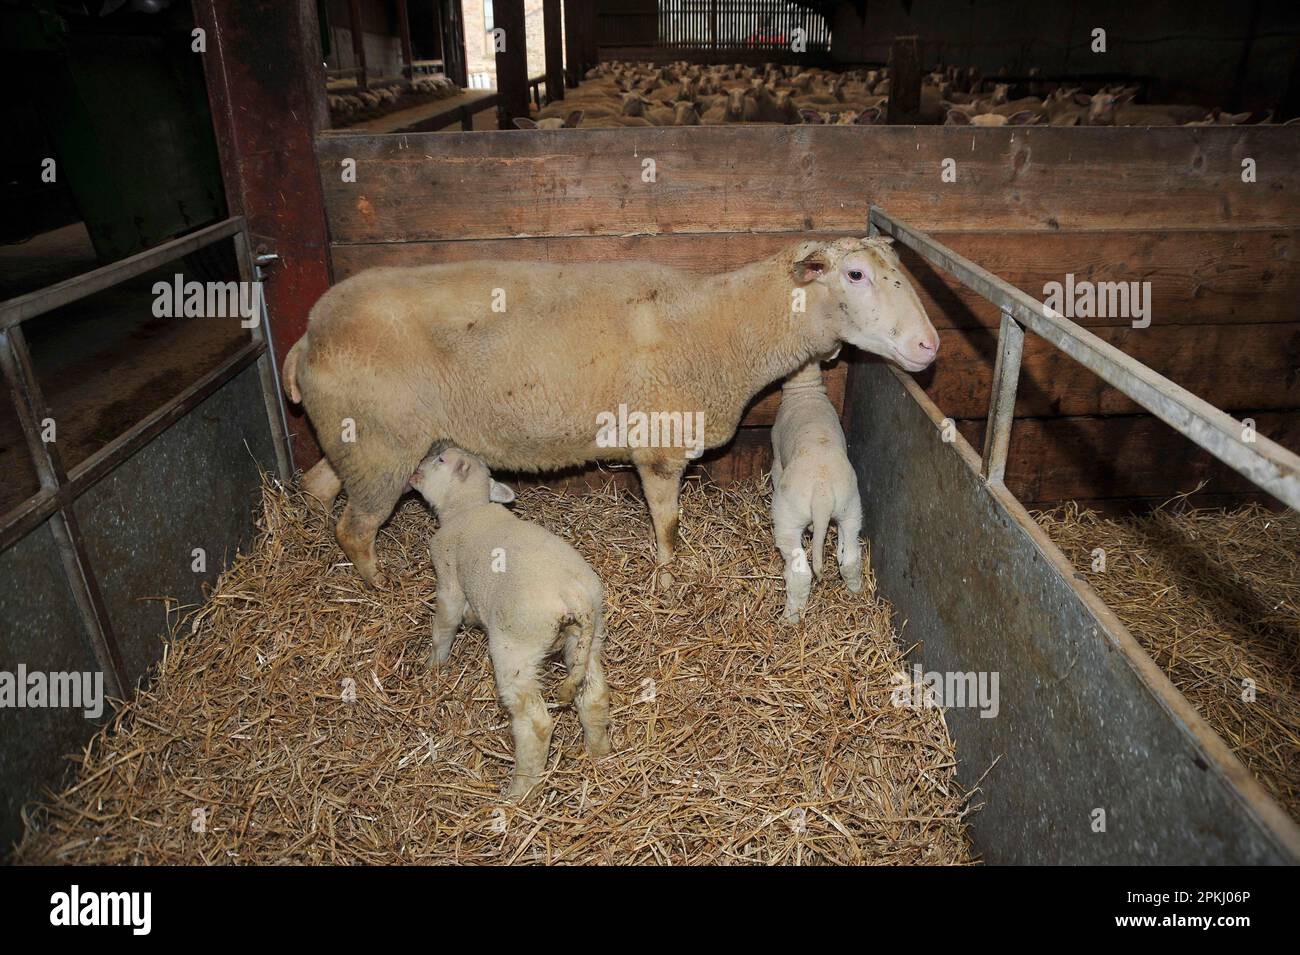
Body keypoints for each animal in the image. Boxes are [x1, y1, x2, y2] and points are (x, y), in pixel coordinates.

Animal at [283, 237, 939, 587]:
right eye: (855, 274)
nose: (930, 345)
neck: (722, 329)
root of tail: (307, 338)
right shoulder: (660, 447)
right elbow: (668, 523)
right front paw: (669, 578)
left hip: (356, 442)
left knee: (318, 491)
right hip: (382, 448)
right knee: (355, 527)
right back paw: (381, 588)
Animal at [410, 447, 611, 800]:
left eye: (440, 460)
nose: (416, 466)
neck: (467, 507)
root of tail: (572, 595)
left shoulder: (447, 576)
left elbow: (444, 625)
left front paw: (433, 664)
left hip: (516, 649)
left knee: (535, 723)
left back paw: (518, 792)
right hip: (589, 637)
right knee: (593, 695)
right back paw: (599, 751)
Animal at [770, 360, 863, 623]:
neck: (806, 390)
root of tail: (822, 496)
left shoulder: (776, 455)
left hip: (787, 519)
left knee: (801, 572)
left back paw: (790, 618)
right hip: (851, 509)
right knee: (850, 559)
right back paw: (856, 592)